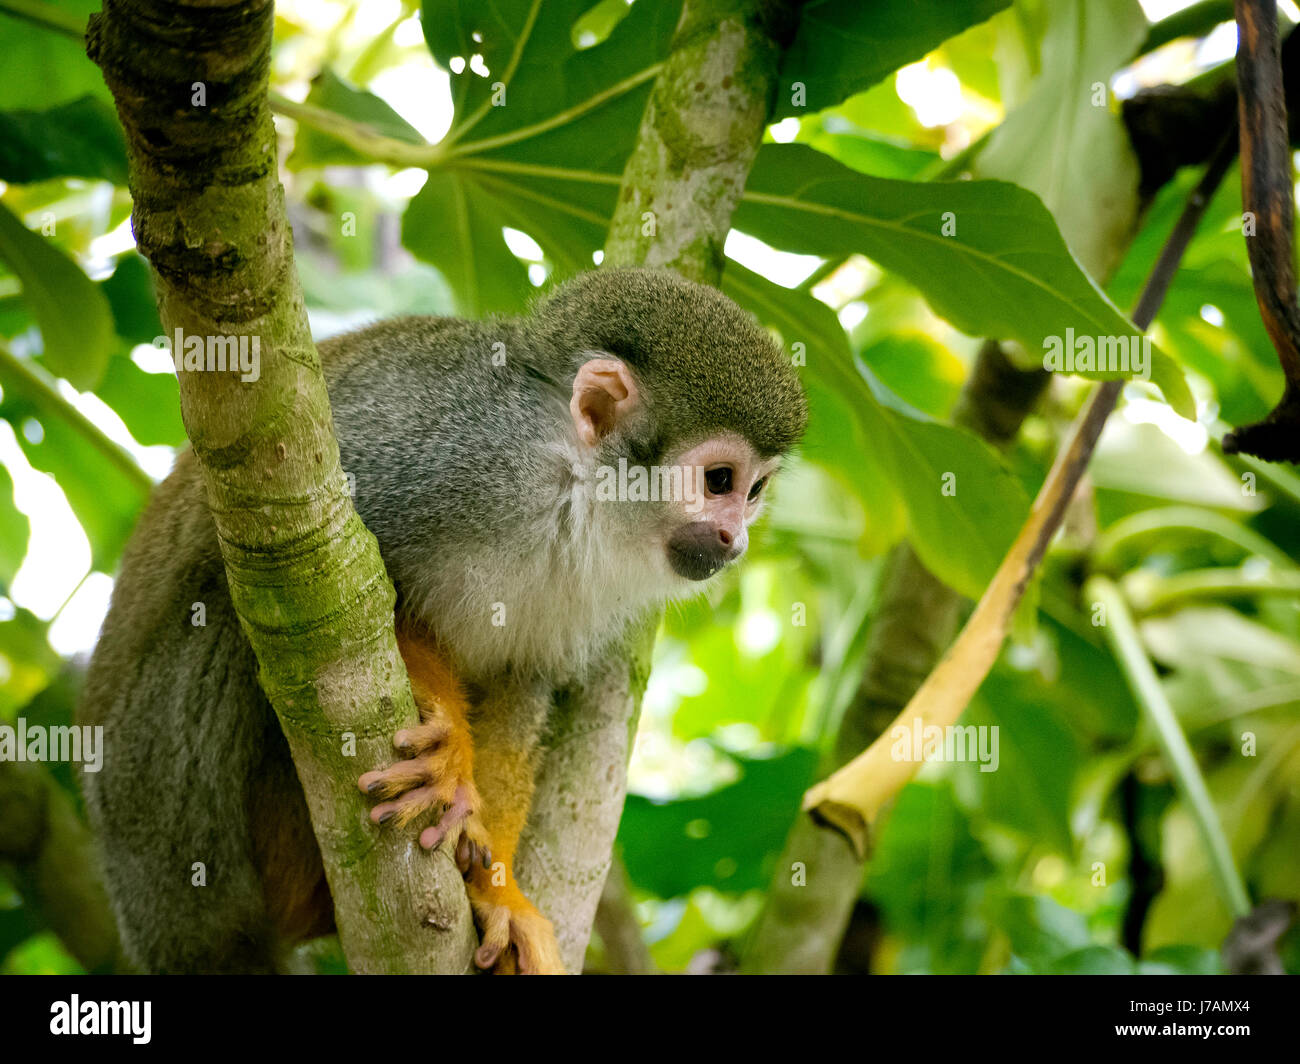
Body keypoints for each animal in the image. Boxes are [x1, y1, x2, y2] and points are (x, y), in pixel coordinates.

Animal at [77, 266, 807, 974]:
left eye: (754, 492)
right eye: (719, 481)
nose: (734, 540)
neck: (568, 486)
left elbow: (521, 681)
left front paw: (498, 892)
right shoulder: (443, 455)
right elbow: (354, 587)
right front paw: (448, 750)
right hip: (179, 834)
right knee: (234, 595)